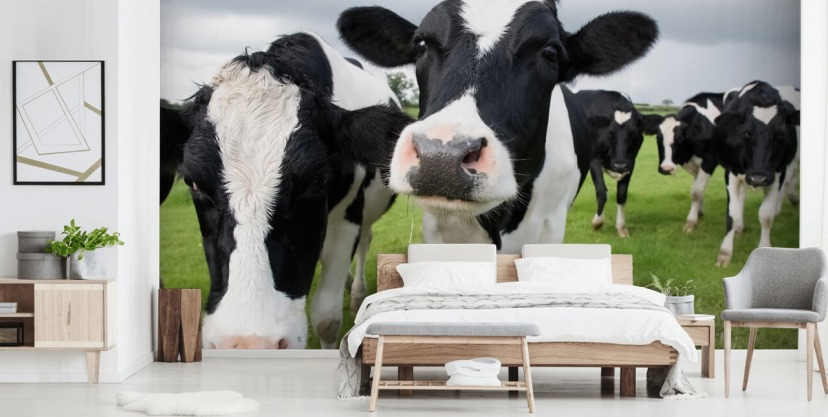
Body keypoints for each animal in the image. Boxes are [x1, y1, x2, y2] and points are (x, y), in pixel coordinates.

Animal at [169, 32, 411, 349]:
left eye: (316, 181)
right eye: (193, 182)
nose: (248, 344)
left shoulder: (347, 218)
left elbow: (326, 318)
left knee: (365, 242)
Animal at [574, 90, 662, 237]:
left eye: (633, 134)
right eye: (610, 133)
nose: (619, 164)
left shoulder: (630, 164)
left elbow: (621, 195)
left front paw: (621, 227)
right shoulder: (594, 160)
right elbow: (602, 192)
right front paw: (597, 223)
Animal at [646, 93, 724, 232]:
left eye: (680, 138)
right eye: (658, 138)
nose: (666, 168)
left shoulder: (709, 161)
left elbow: (696, 191)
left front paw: (691, 222)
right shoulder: (694, 166)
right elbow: (697, 188)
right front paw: (699, 213)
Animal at [713, 81, 799, 267]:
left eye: (780, 134)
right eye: (746, 132)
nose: (758, 177)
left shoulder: (778, 173)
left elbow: (766, 215)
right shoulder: (730, 172)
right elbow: (732, 213)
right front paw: (725, 253)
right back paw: (739, 228)